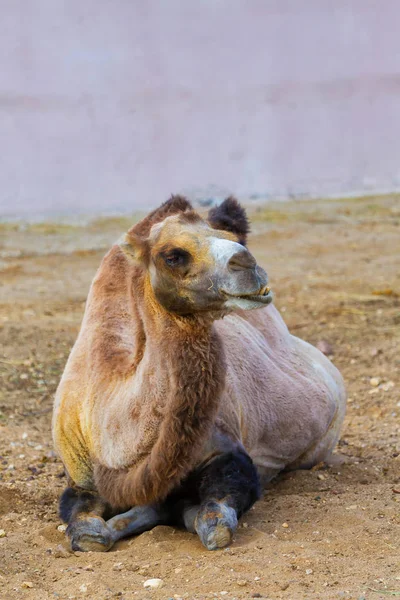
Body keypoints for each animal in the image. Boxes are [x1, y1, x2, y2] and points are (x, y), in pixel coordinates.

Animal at [52, 195, 346, 552]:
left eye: (232, 238)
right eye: (173, 255)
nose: (247, 264)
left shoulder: (226, 449)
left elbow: (214, 521)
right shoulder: (80, 475)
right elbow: (86, 530)